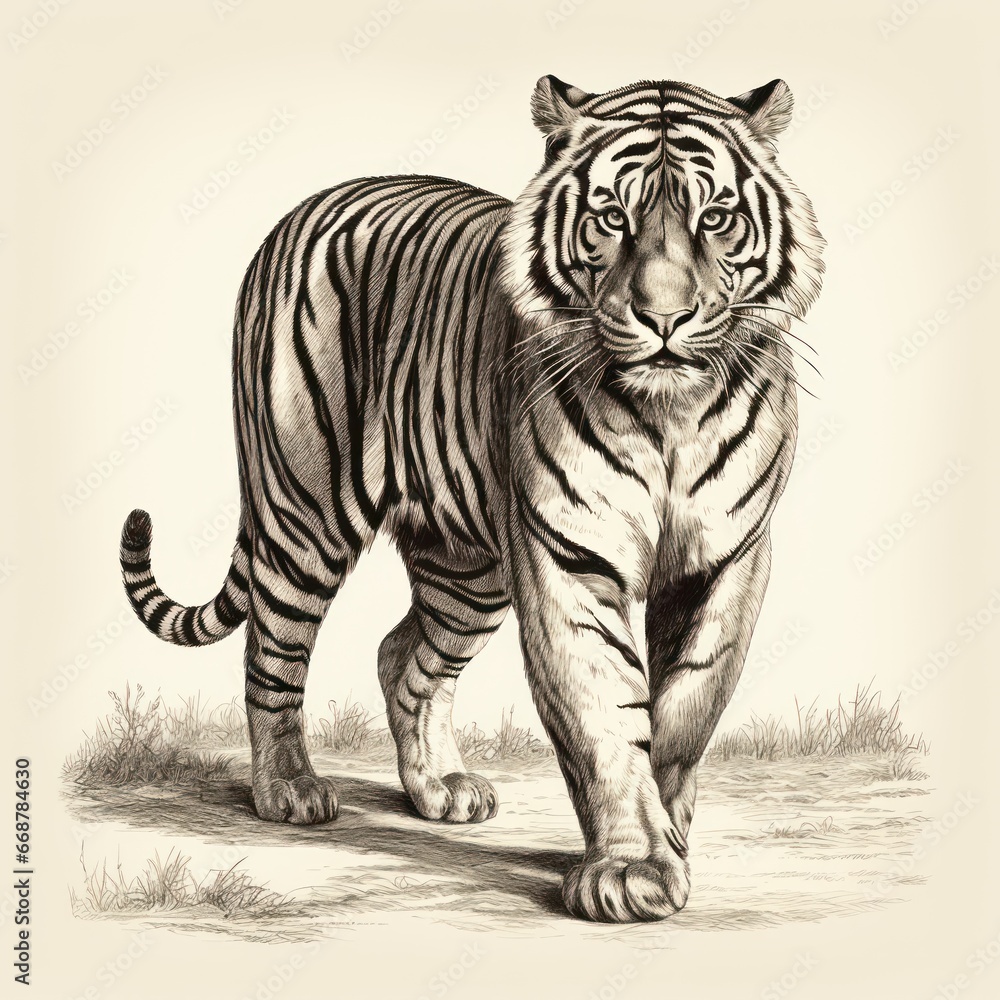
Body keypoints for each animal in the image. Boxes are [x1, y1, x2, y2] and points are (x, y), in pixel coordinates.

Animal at [119, 75, 824, 923]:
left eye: (714, 218)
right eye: (611, 218)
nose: (663, 318)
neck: (670, 414)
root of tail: (308, 207)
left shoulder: (724, 560)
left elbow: (687, 711)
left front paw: (670, 845)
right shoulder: (565, 557)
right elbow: (604, 712)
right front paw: (629, 868)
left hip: (469, 563)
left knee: (402, 654)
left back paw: (438, 789)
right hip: (304, 512)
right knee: (272, 651)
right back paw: (289, 789)